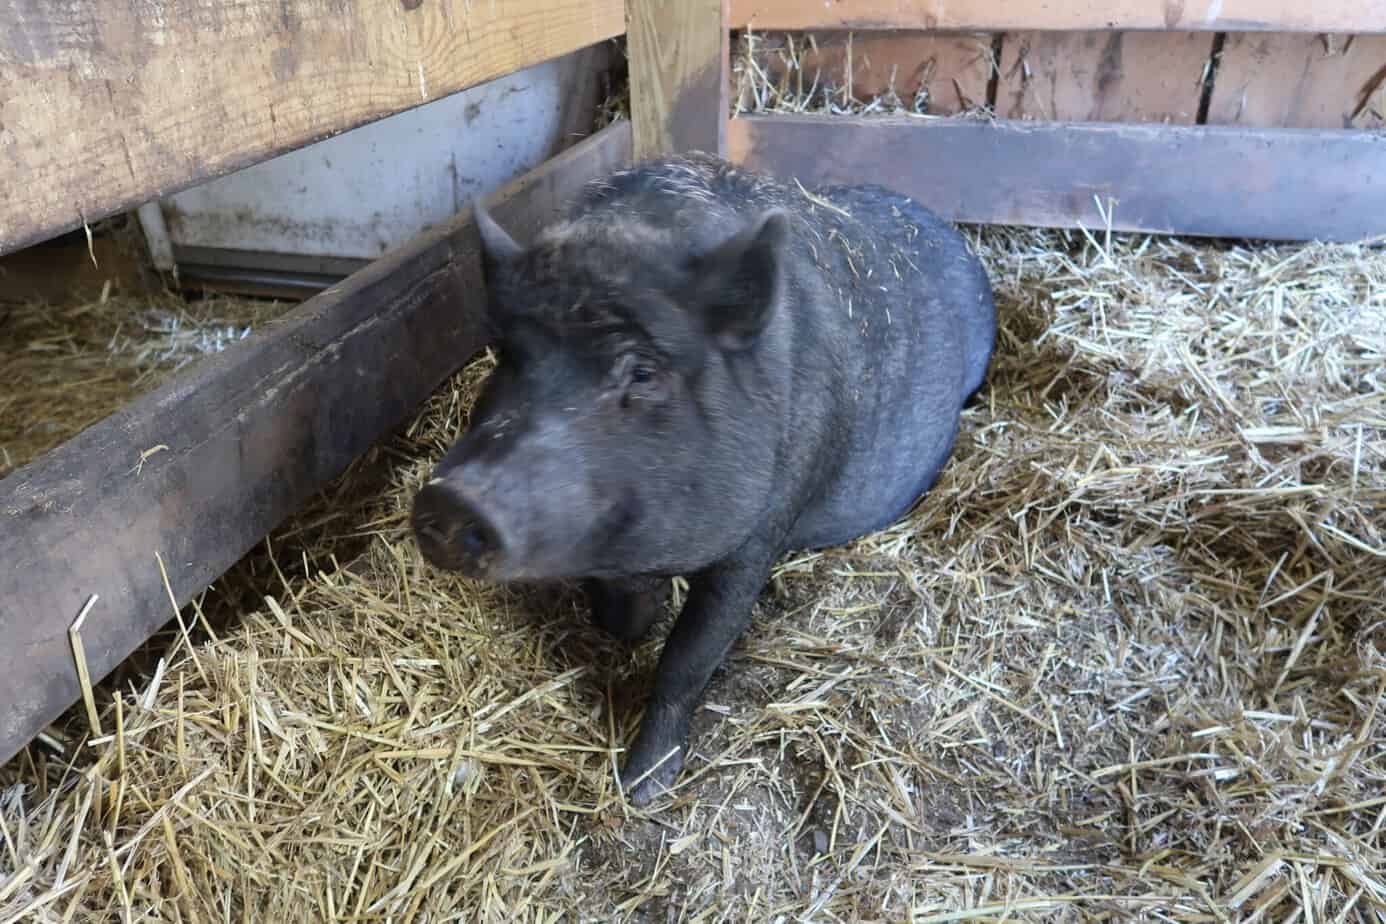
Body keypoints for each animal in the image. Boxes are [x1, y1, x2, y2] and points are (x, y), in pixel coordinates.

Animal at [410, 152, 995, 806]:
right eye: (508, 354)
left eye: (642, 371)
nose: (453, 499)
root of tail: (950, 230)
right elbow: (619, 607)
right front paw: (633, 620)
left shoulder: (763, 530)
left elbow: (689, 658)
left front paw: (642, 788)